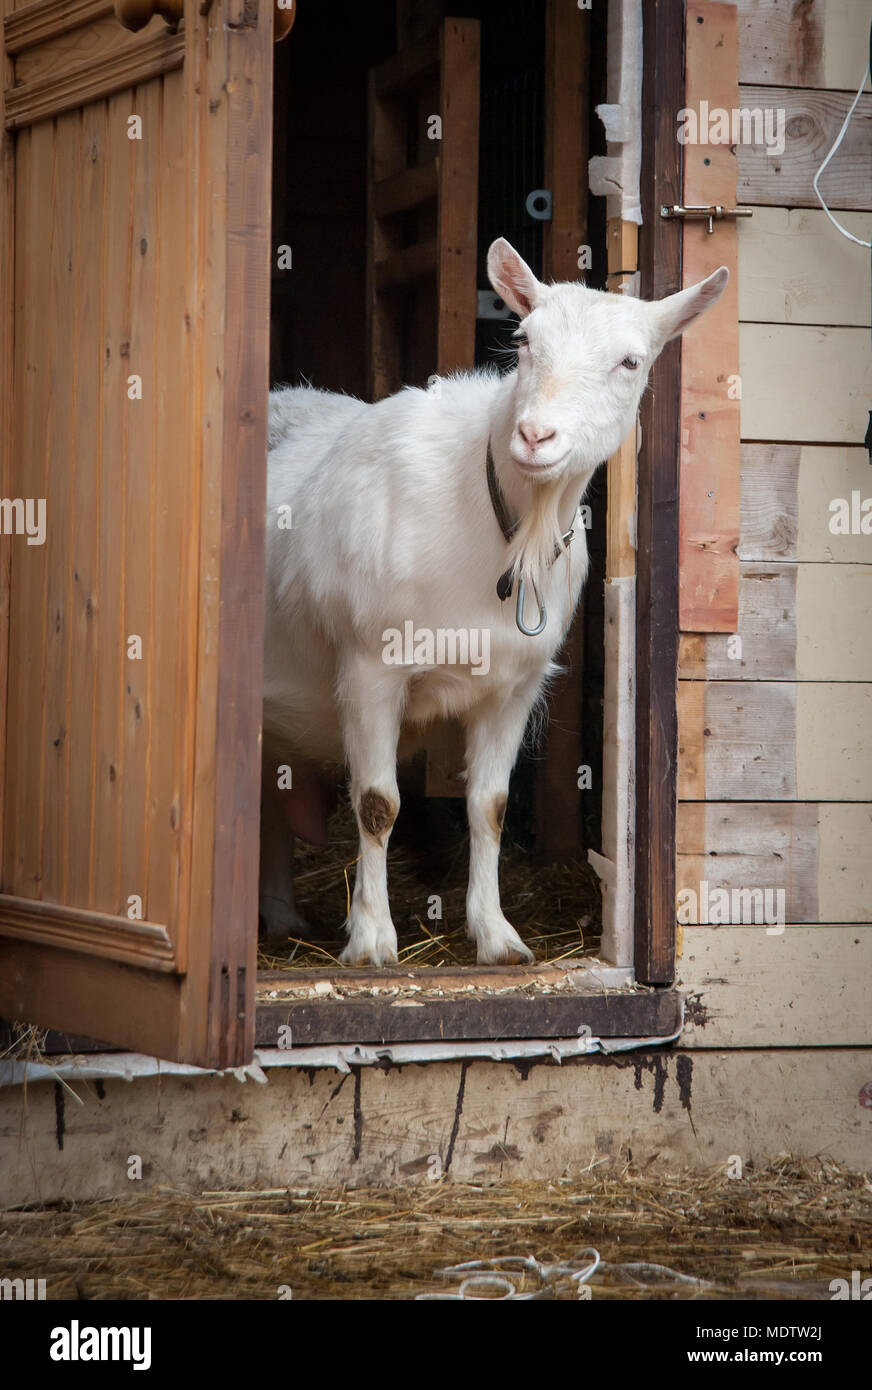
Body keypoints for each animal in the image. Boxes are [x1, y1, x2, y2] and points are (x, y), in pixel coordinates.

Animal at [262, 238, 728, 966]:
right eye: (524, 338)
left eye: (630, 362)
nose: (536, 437)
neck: (508, 528)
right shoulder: (369, 667)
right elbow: (378, 803)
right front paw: (371, 940)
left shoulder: (515, 685)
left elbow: (491, 804)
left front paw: (497, 935)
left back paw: (281, 917)